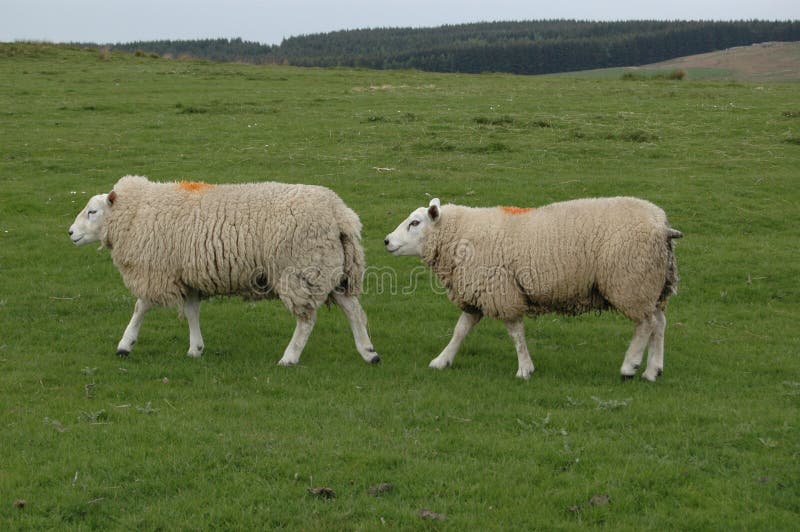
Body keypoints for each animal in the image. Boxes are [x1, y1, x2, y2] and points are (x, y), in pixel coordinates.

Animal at [68, 175, 380, 366]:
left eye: (92, 212)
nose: (70, 233)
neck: (135, 214)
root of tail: (341, 214)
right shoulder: (187, 276)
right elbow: (192, 312)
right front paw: (196, 348)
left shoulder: (158, 270)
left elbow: (140, 306)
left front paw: (125, 344)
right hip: (330, 271)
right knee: (354, 311)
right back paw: (369, 352)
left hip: (301, 271)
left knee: (306, 320)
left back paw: (289, 358)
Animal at [384, 197, 682, 380]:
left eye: (415, 223)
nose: (387, 240)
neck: (460, 235)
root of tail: (662, 226)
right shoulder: (478, 292)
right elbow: (460, 330)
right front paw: (442, 360)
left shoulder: (501, 290)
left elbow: (516, 333)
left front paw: (525, 369)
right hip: (653, 285)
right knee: (659, 323)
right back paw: (653, 370)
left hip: (631, 281)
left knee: (645, 324)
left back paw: (630, 366)